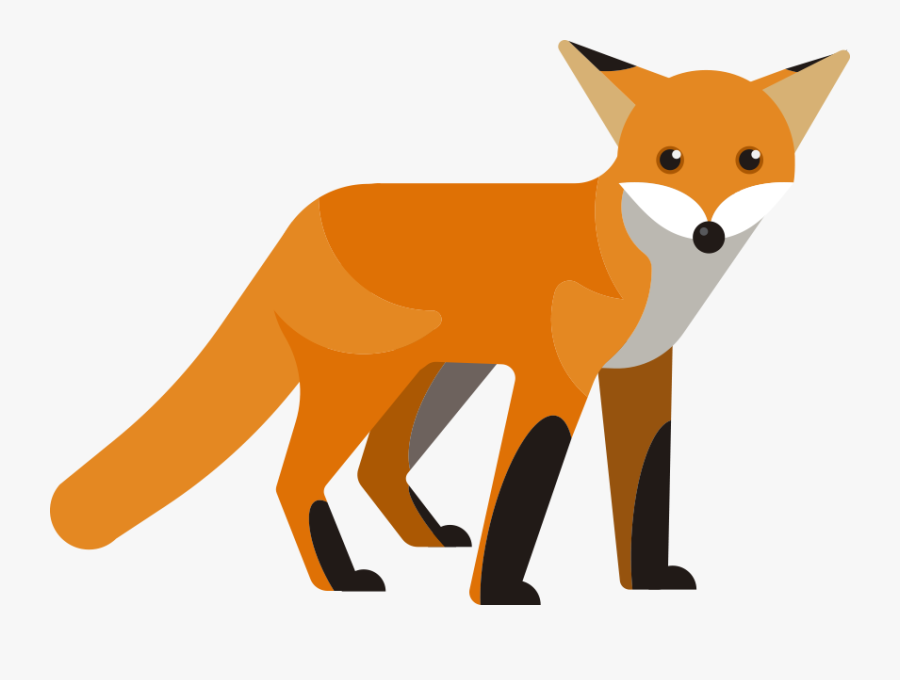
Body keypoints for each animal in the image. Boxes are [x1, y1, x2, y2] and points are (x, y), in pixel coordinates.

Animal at [50, 41, 849, 604]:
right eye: (670, 159)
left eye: (751, 159)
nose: (709, 233)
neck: (652, 273)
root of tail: (301, 220)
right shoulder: (555, 377)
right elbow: (524, 486)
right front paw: (498, 595)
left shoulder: (642, 376)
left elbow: (649, 487)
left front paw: (646, 583)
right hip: (369, 382)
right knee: (295, 478)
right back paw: (342, 580)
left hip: (437, 377)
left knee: (375, 467)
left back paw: (426, 540)